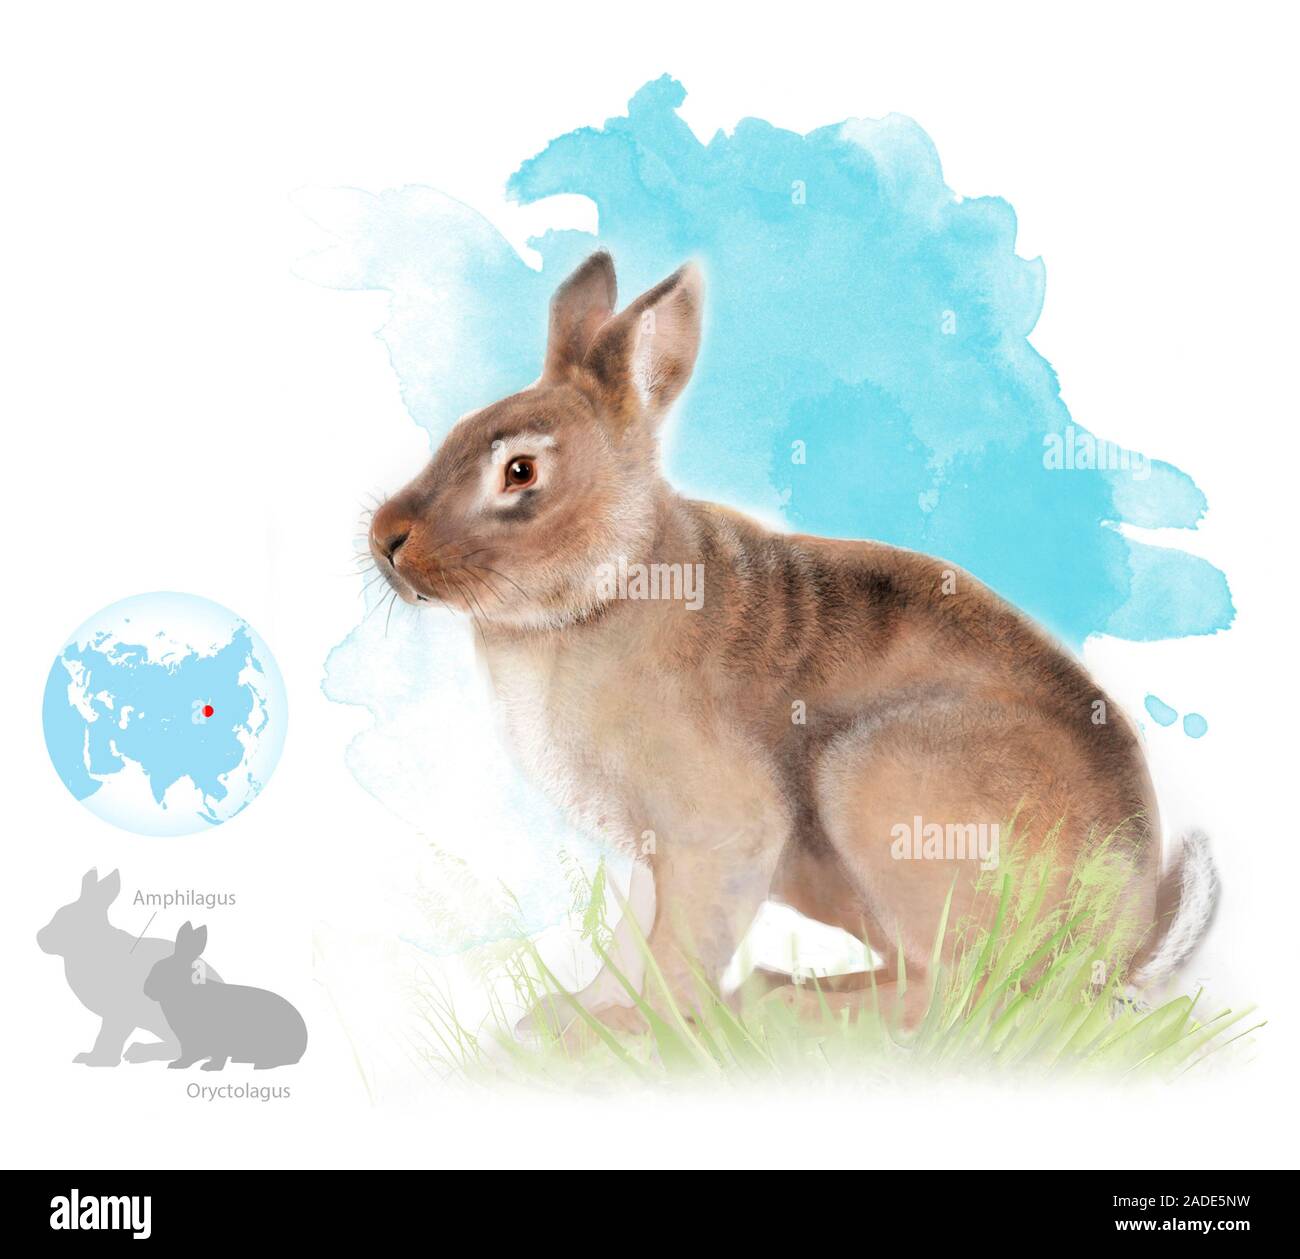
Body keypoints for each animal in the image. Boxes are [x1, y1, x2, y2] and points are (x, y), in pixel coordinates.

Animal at [37, 868, 223, 1066]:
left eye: (67, 918)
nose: (39, 937)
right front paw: (88, 1056)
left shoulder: (119, 1014)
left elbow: (109, 1035)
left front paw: (101, 1061)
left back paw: (138, 1052)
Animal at [143, 922, 307, 1070]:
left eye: (164, 970)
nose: (146, 990)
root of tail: (304, 1043)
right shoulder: (188, 1042)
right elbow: (189, 1055)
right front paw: (178, 1064)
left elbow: (217, 1055)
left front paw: (209, 1067)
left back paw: (261, 1064)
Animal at [367, 251, 1218, 1033]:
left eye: (520, 471)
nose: (385, 540)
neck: (607, 583)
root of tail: (1119, 939)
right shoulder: (653, 849)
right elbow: (633, 937)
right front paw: (575, 1016)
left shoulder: (721, 831)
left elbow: (678, 944)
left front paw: (636, 1030)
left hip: (879, 780)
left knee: (962, 997)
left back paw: (794, 1008)